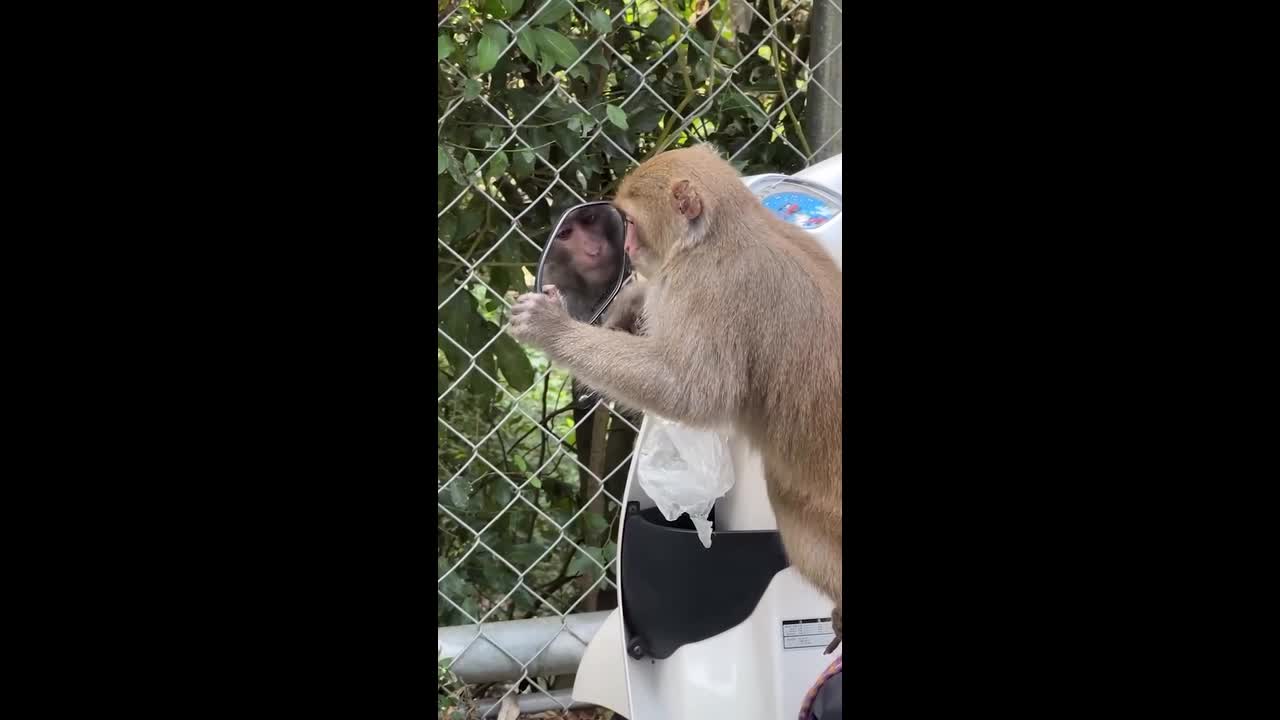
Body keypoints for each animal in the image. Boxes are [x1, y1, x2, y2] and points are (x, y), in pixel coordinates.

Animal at [511, 145, 843, 652]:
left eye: (628, 221)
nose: (625, 250)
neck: (714, 235)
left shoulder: (703, 287)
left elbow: (692, 392)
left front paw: (553, 329)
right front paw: (629, 303)